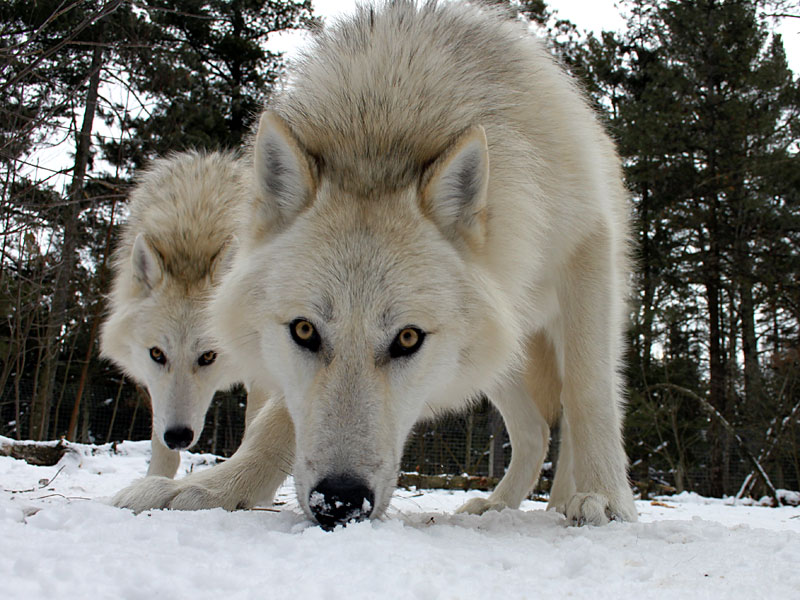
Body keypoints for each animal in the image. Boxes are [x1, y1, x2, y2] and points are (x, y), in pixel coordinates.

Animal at [100, 151, 270, 479]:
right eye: (157, 354)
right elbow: (162, 454)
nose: (178, 436)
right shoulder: (157, 389)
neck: (192, 235)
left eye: (208, 356)